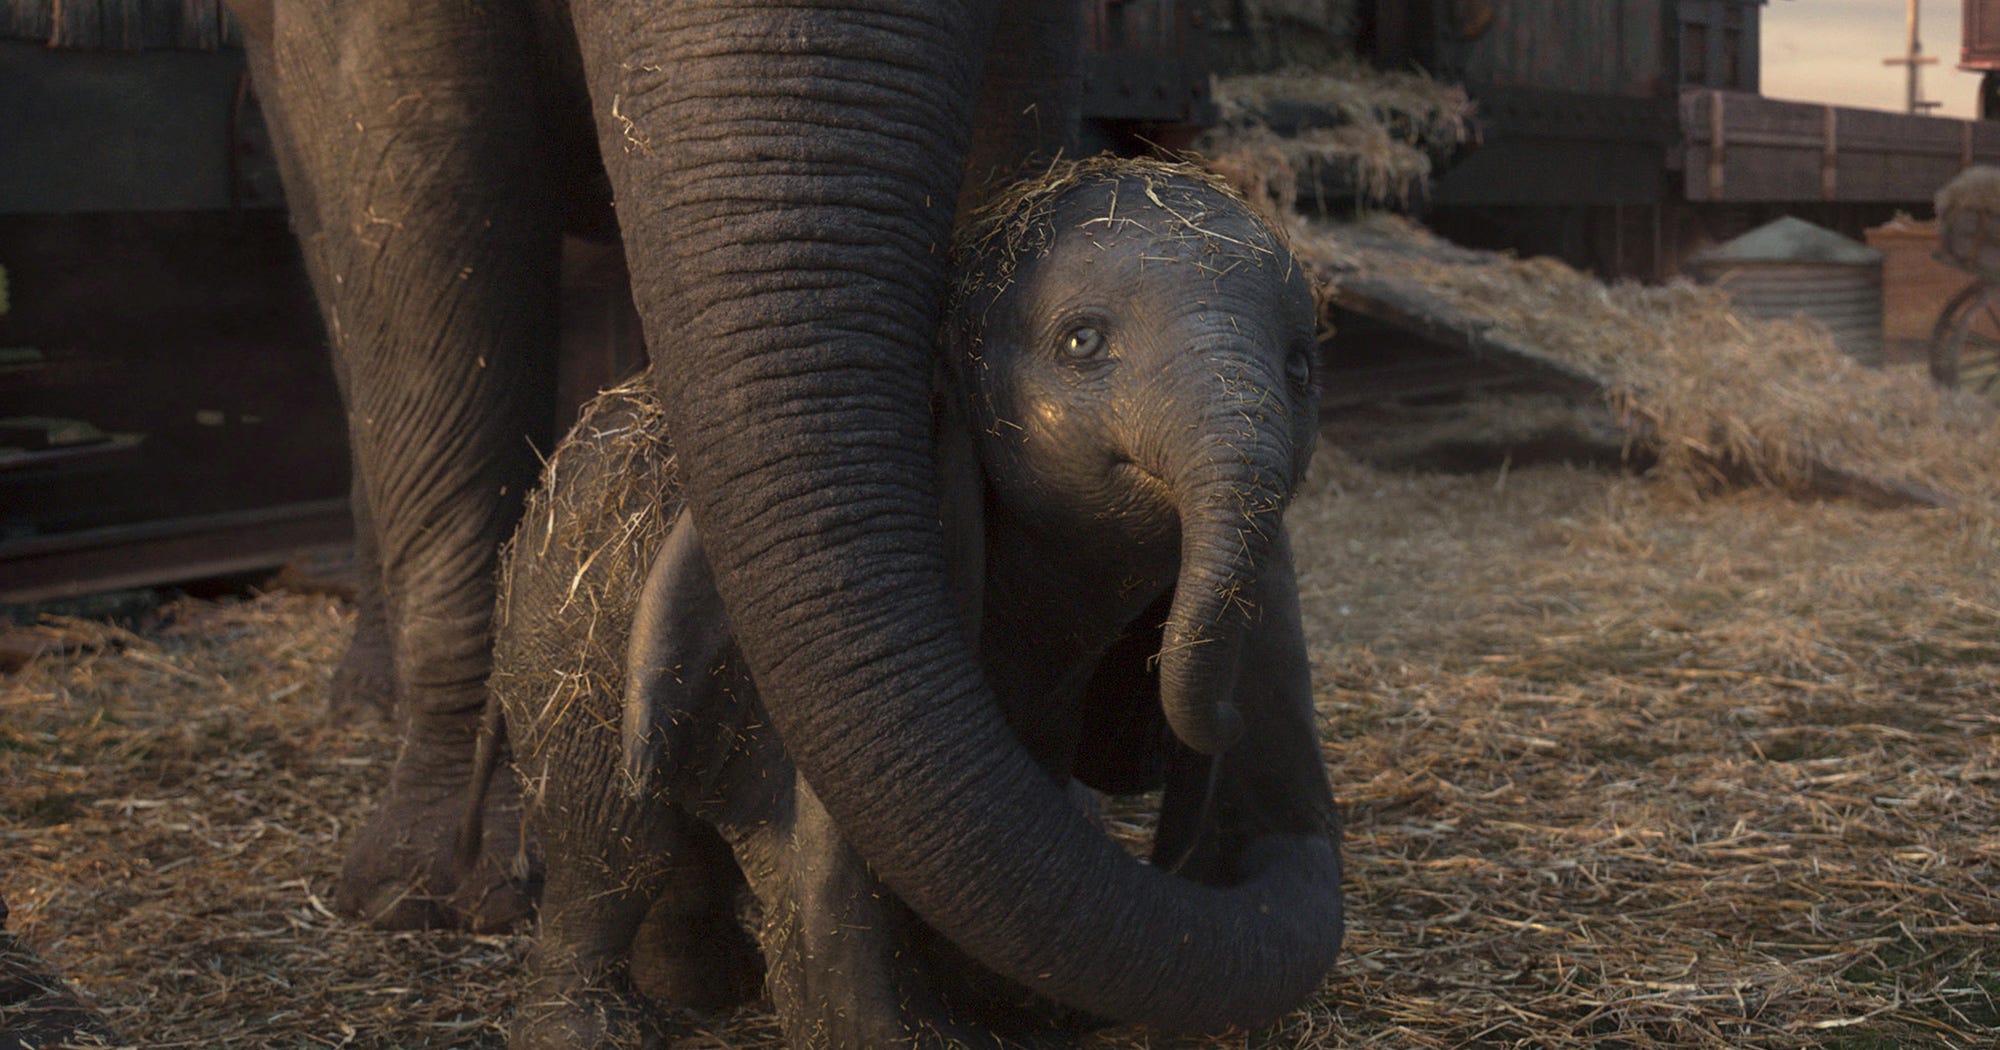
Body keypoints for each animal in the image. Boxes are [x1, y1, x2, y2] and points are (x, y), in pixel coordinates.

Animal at [486, 159, 1344, 1048]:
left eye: (1301, 370)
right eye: (1083, 343)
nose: (1226, 721)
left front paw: (1021, 1003)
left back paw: (701, 981)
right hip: (556, 636)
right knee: (615, 839)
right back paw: (593, 1020)